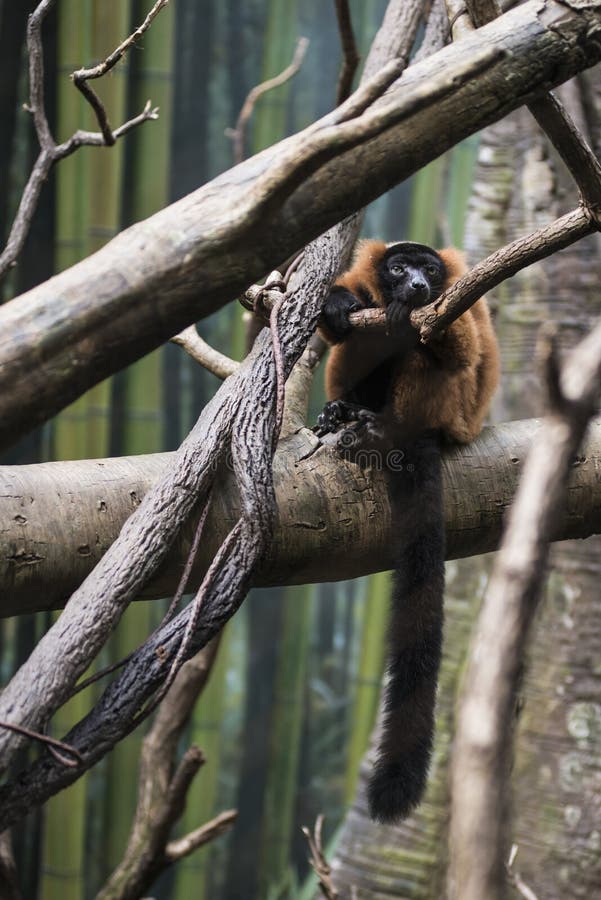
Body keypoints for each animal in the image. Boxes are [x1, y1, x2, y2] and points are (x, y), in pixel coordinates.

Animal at [315, 240, 500, 823]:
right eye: (400, 268)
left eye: (430, 272)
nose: (417, 287)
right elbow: (344, 326)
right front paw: (340, 303)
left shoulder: (463, 298)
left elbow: (462, 351)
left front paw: (412, 317)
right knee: (366, 343)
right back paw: (348, 412)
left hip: (454, 413)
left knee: (422, 356)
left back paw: (388, 428)